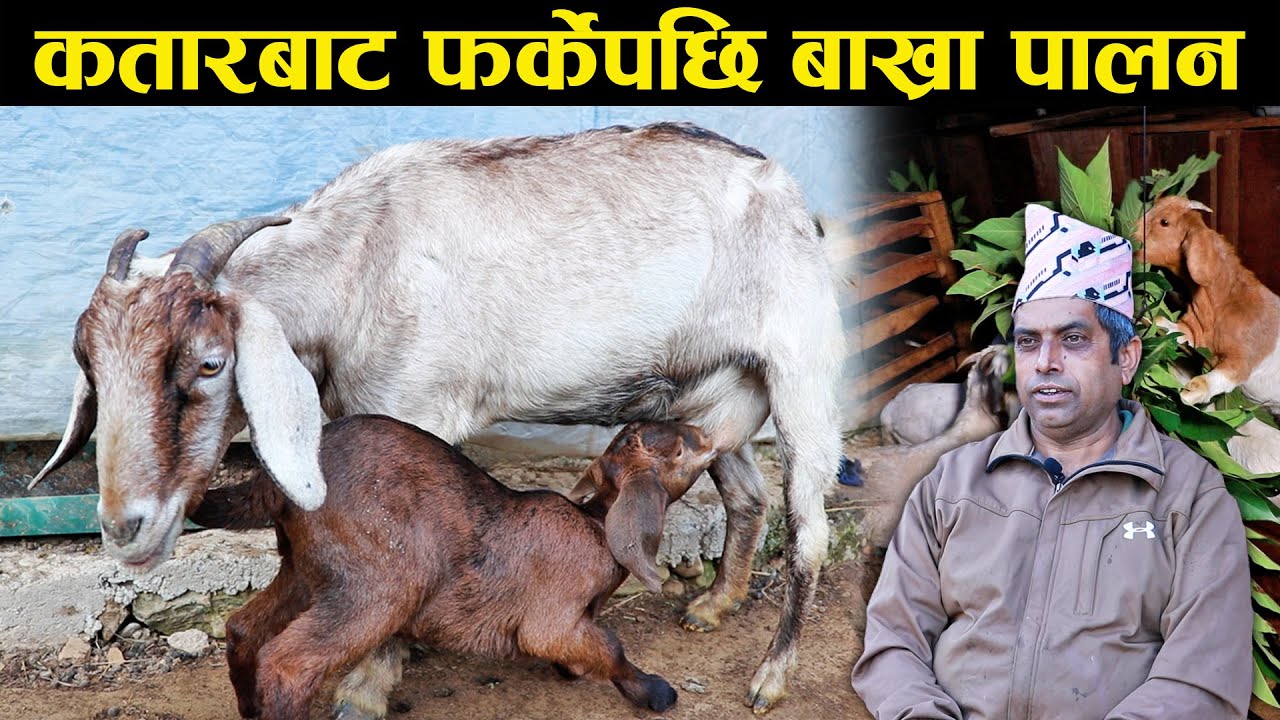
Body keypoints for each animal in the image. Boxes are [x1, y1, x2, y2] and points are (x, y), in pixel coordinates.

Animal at [190, 416, 715, 720]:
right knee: (288, 665)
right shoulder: (552, 621)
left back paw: (249, 708)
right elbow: (610, 647)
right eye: (682, 448)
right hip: (382, 585)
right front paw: (655, 692)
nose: (709, 430)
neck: (597, 524)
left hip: (305, 570)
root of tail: (271, 481)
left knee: (242, 627)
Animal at [1135, 195, 1280, 412]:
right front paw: (1152, 322)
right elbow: (1175, 330)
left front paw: (1189, 393)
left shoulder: (1244, 354)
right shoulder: (1195, 332)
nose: (1130, 235)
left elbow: (1224, 375)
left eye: (1165, 222)